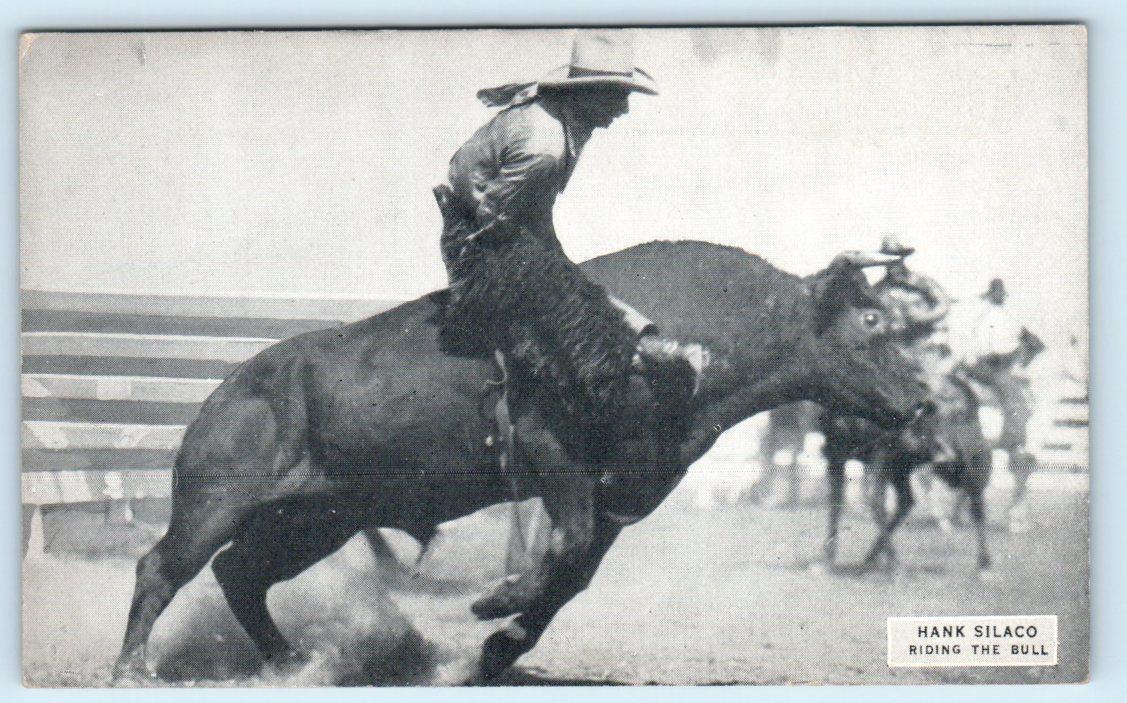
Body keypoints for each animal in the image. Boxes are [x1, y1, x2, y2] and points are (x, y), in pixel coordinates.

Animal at [112, 240, 928, 684]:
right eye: (872, 318)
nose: (921, 399)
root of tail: (232, 388)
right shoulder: (548, 454)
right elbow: (563, 551)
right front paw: (491, 605)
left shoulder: (620, 496)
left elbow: (571, 574)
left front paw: (492, 650)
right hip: (218, 500)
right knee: (163, 567)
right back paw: (132, 669)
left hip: (318, 520)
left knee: (239, 575)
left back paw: (289, 662)